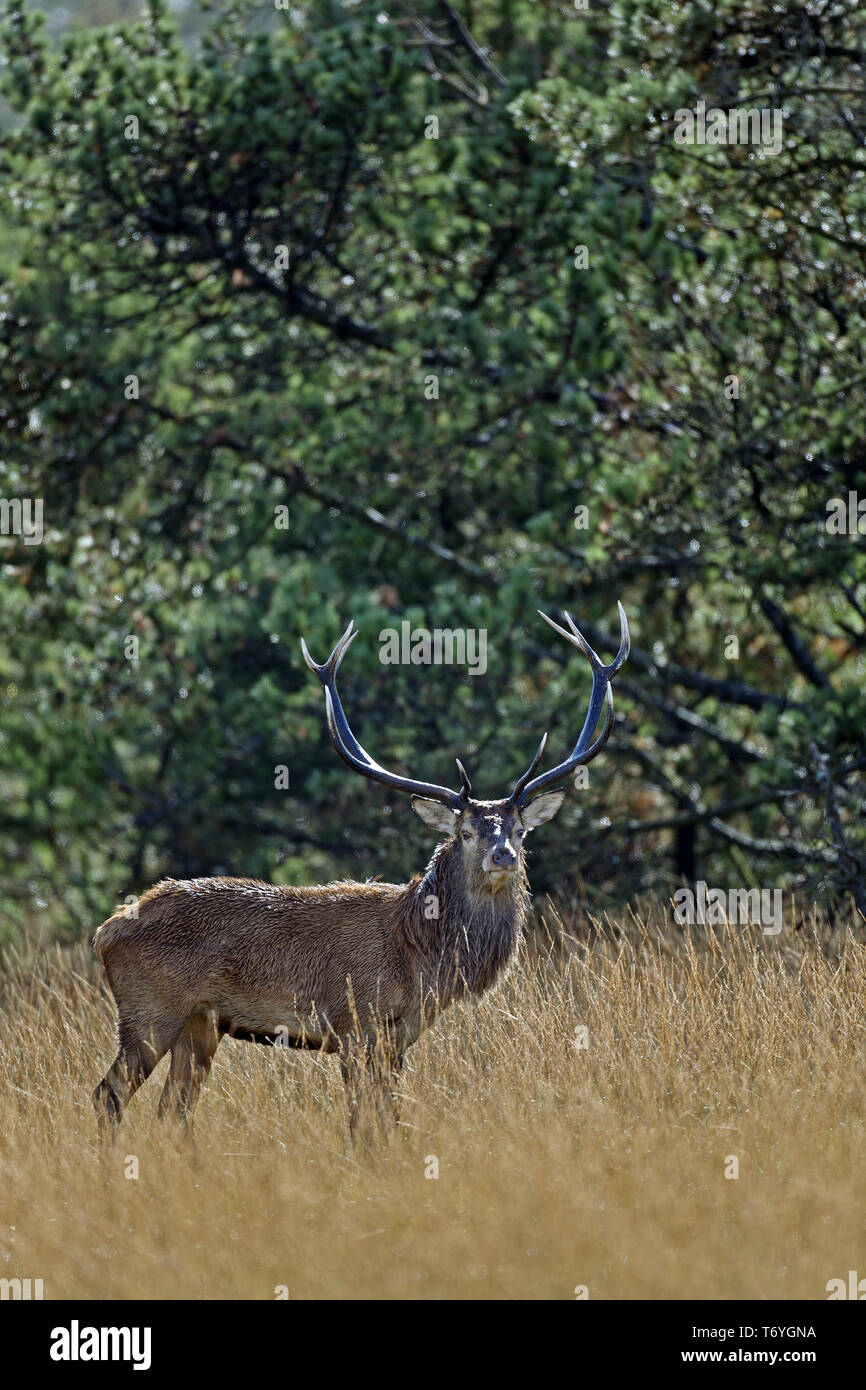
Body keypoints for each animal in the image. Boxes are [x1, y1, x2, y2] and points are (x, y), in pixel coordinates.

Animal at [92, 603, 629, 1140]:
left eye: (519, 830)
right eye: (465, 831)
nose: (503, 856)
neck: (421, 958)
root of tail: (106, 932)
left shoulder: (400, 1037)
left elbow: (388, 1118)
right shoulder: (354, 1024)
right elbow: (363, 1125)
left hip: (200, 1023)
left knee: (172, 1111)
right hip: (151, 1011)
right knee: (108, 1095)